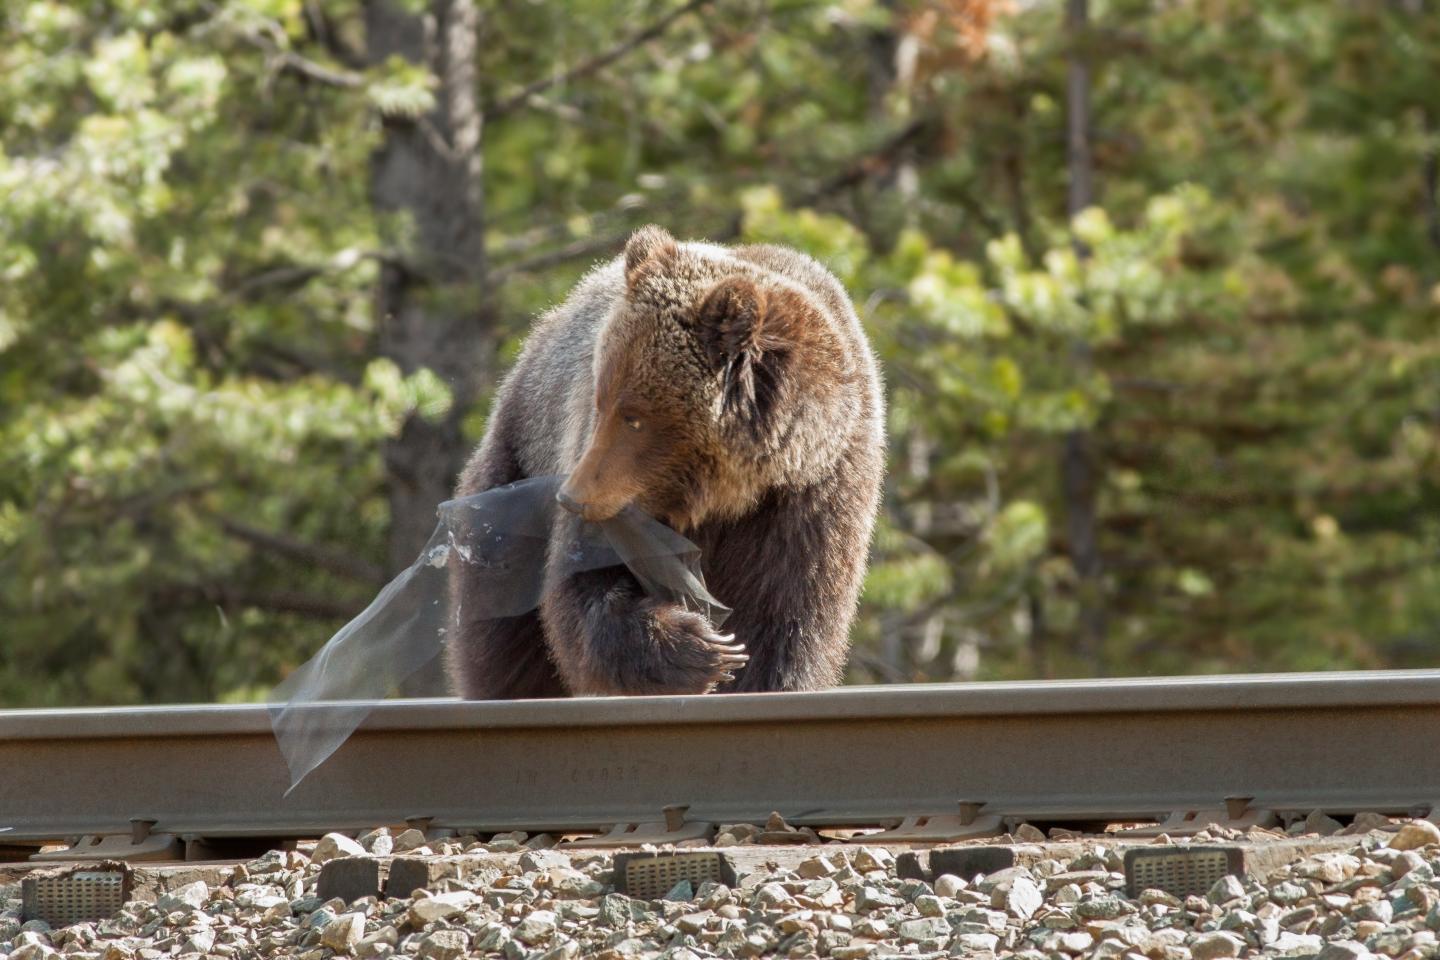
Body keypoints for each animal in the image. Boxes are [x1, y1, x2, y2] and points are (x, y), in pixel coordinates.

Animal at [445, 225, 885, 697]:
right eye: (601, 401)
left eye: (634, 417)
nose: (571, 496)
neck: (726, 493)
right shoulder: (611, 489)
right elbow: (583, 586)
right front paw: (701, 648)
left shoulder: (814, 495)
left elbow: (788, 617)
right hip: (516, 463)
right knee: (501, 626)